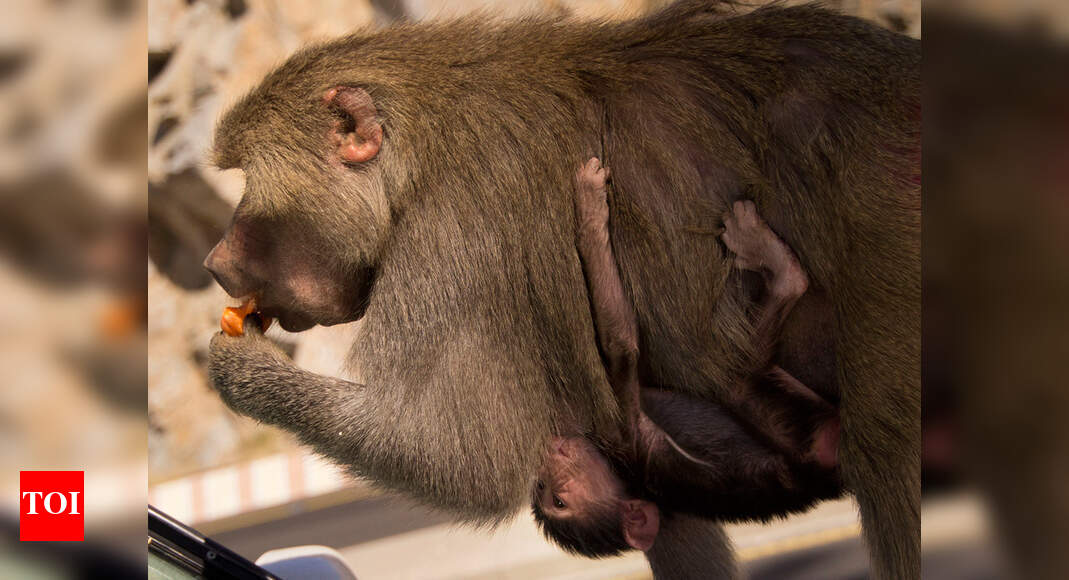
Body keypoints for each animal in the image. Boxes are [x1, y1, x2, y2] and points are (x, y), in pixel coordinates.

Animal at [530, 159, 841, 557]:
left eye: (551, 496)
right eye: (559, 502)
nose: (546, 466)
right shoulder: (624, 438)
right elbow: (621, 343)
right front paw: (589, 212)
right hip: (801, 432)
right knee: (735, 374)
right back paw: (779, 267)